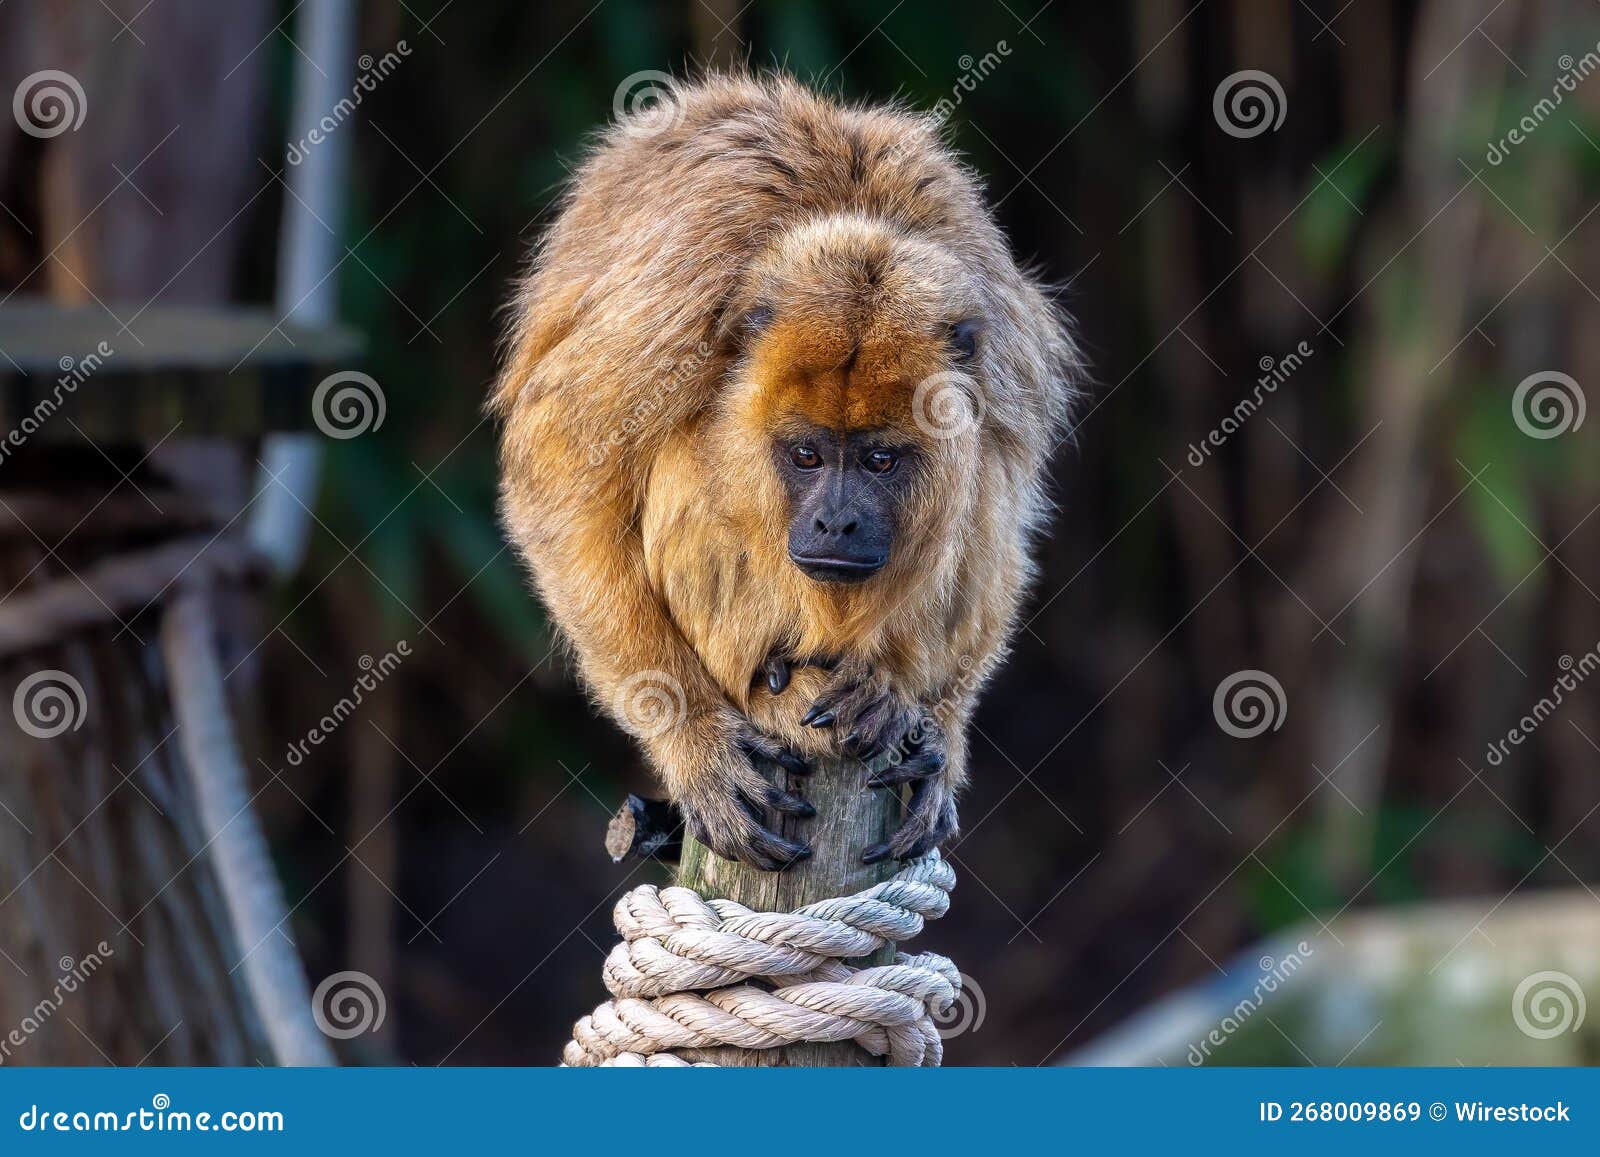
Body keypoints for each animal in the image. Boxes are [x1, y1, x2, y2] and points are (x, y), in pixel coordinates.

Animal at [490, 73, 1078, 870]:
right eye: (806, 456)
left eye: (879, 459)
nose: (837, 519)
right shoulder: (683, 297)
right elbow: (557, 474)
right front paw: (697, 739)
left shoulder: (1001, 354)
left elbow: (1006, 516)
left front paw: (935, 731)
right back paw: (773, 693)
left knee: (979, 489)